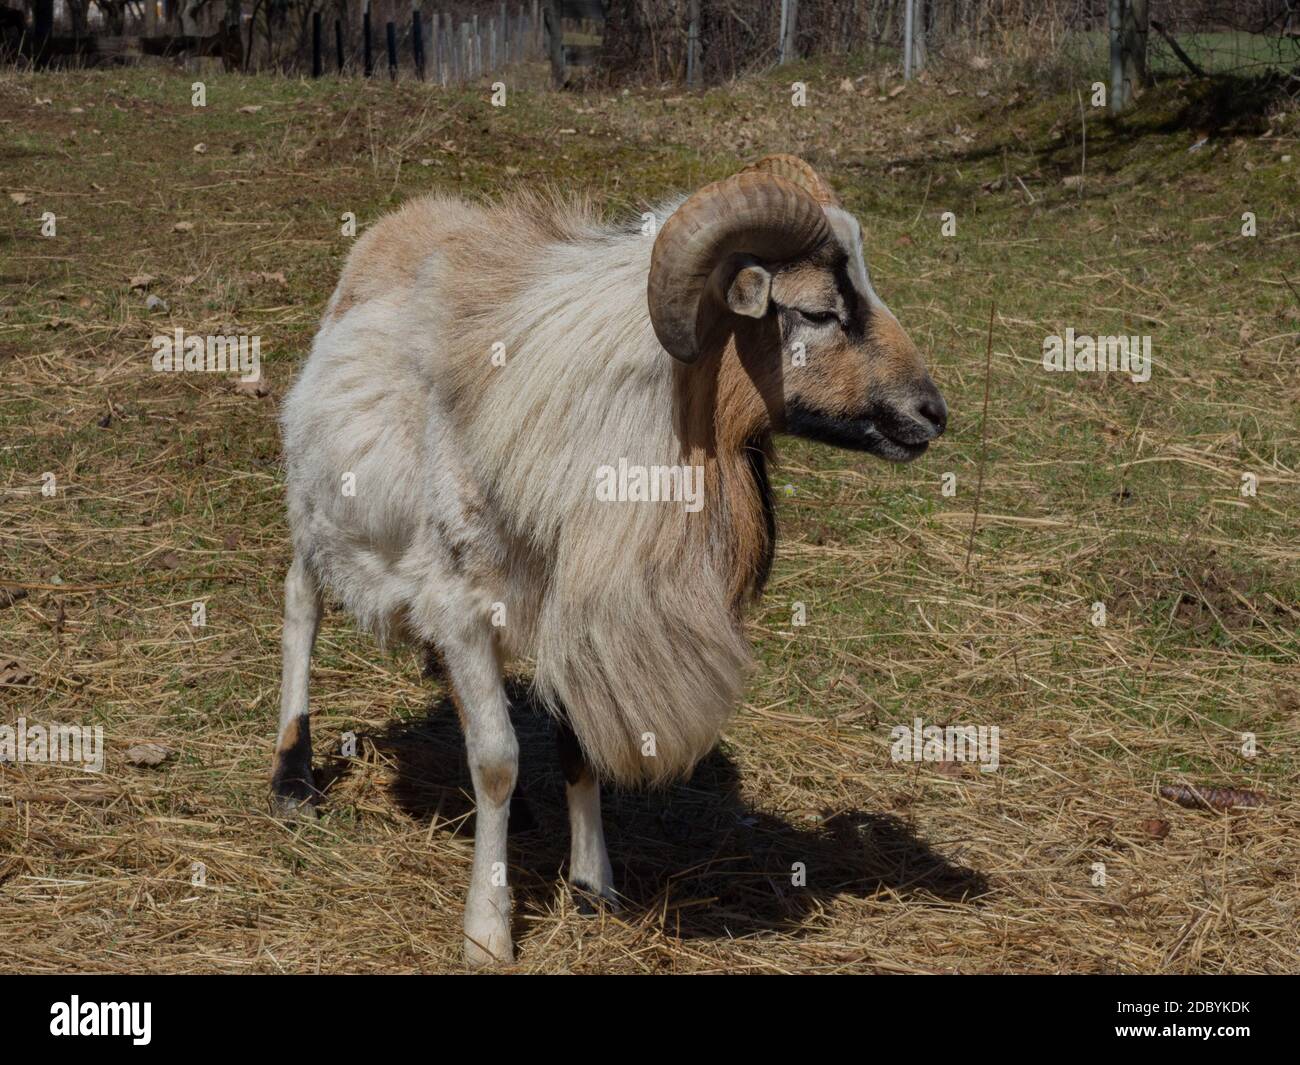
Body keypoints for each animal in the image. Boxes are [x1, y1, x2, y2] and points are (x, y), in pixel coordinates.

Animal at [273, 155, 948, 965]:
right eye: (816, 311)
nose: (932, 413)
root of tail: (406, 217)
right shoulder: (462, 606)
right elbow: (496, 759)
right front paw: (489, 933)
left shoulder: (579, 606)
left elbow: (576, 747)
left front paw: (594, 887)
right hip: (317, 513)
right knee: (300, 602)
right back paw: (292, 778)